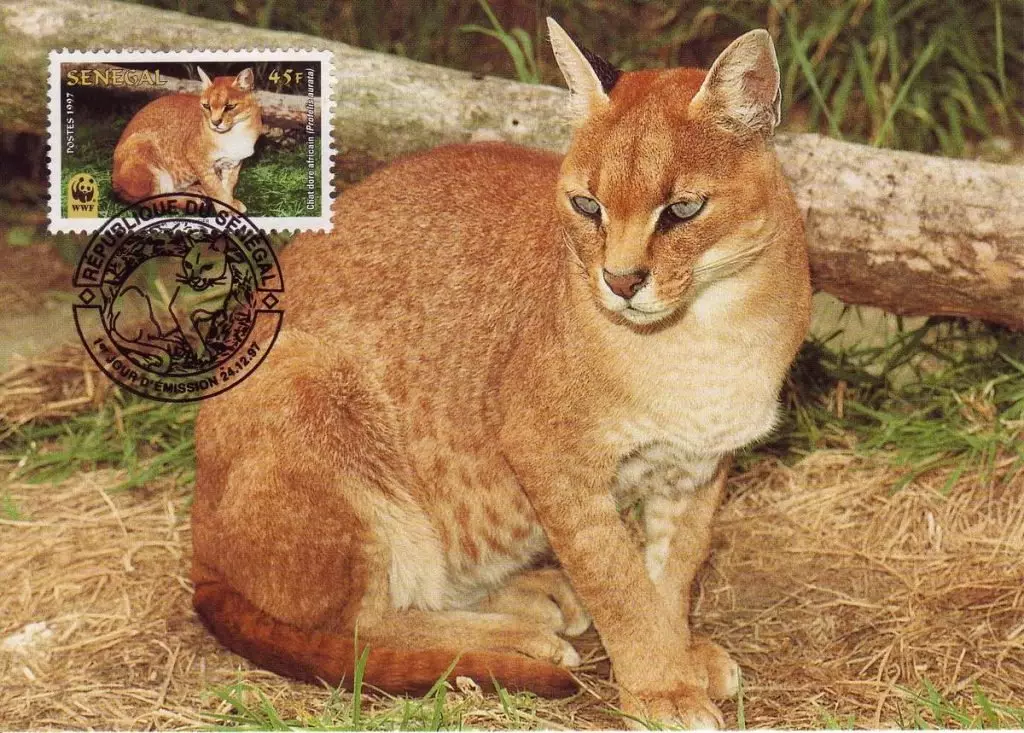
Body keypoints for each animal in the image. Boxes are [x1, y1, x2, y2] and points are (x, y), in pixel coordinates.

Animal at [112, 66, 262, 211]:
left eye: (230, 106)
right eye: (206, 106)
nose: (215, 122)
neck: (235, 132)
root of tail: (114, 181)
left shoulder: (233, 164)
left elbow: (227, 186)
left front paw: (230, 203)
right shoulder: (199, 162)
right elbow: (216, 189)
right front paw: (226, 209)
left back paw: (196, 190)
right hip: (142, 144)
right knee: (150, 200)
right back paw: (192, 200)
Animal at [190, 21, 806, 728]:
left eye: (682, 210)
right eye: (587, 205)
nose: (620, 281)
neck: (712, 328)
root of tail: (198, 541)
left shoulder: (700, 463)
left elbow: (673, 569)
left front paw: (678, 651)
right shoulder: (550, 458)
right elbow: (617, 578)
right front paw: (662, 689)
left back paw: (535, 594)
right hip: (309, 384)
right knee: (360, 623)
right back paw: (520, 636)